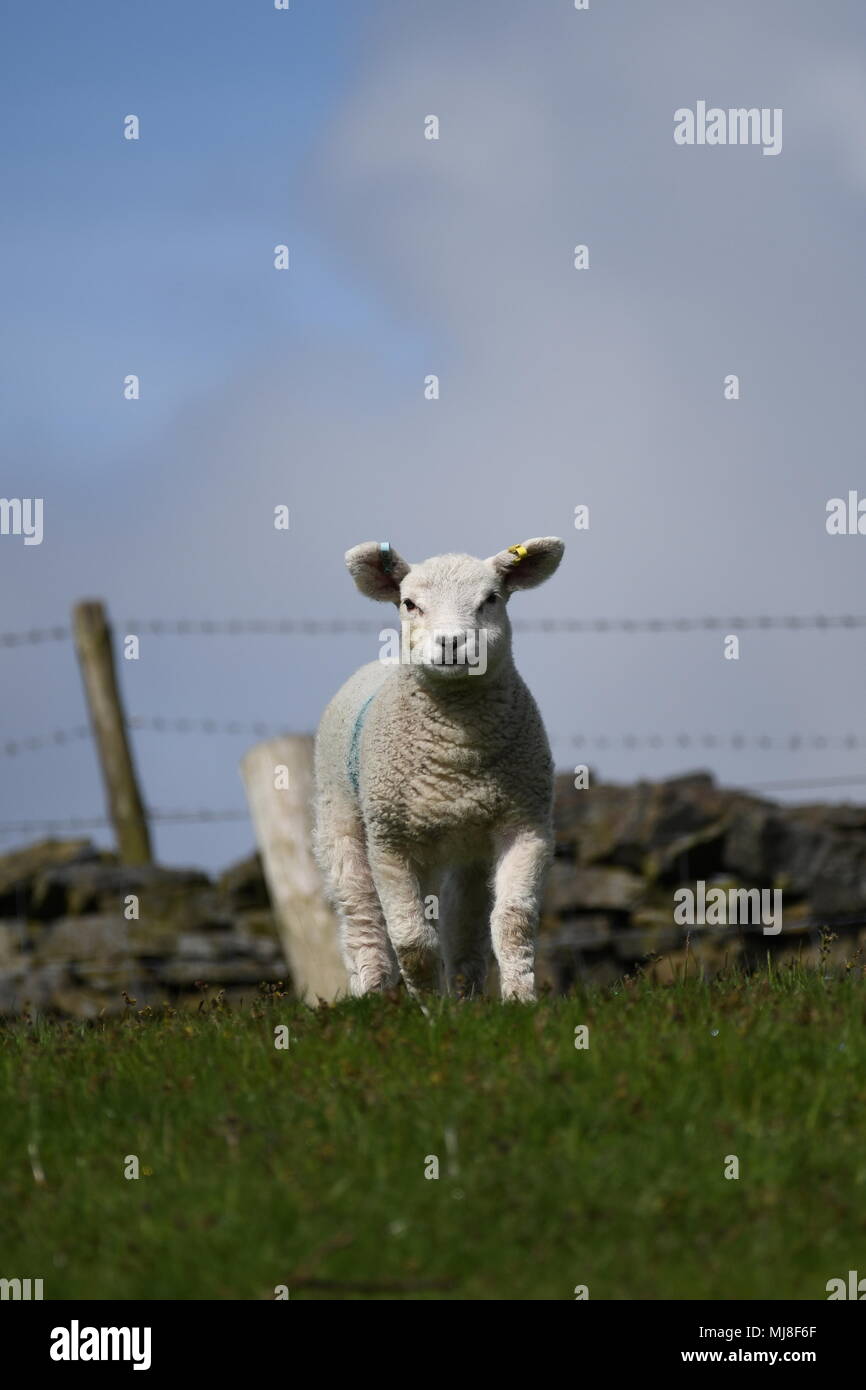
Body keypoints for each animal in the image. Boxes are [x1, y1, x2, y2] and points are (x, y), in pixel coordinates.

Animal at [313, 536, 565, 1002]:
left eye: (491, 599)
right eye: (409, 604)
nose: (451, 643)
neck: (455, 759)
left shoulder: (526, 824)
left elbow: (513, 923)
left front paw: (520, 1000)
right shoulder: (390, 841)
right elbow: (412, 941)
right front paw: (428, 1007)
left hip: (464, 848)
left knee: (462, 925)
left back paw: (465, 994)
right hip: (341, 817)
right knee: (361, 915)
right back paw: (372, 993)